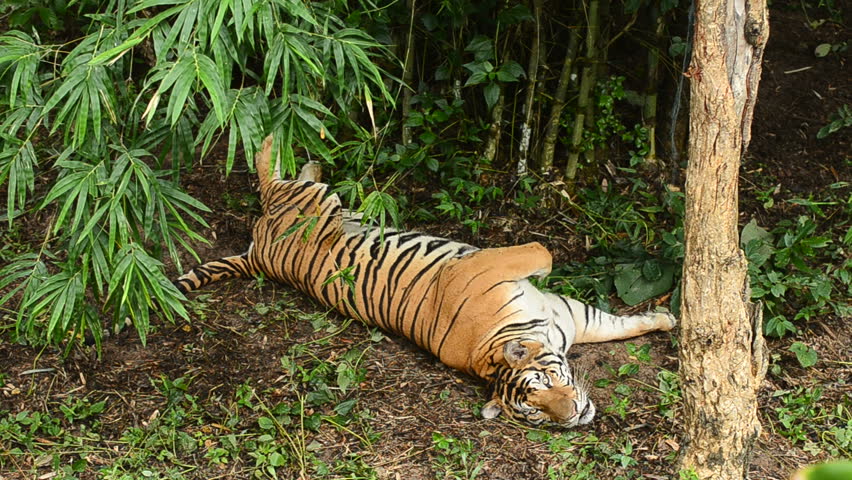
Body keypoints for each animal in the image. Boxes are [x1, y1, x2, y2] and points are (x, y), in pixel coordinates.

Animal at [174, 135, 677, 427]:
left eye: (549, 385)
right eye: (536, 409)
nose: (573, 414)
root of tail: (258, 252)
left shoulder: (570, 316)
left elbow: (618, 323)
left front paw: (664, 320)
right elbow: (543, 252)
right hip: (311, 200)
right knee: (271, 172)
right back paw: (283, 139)